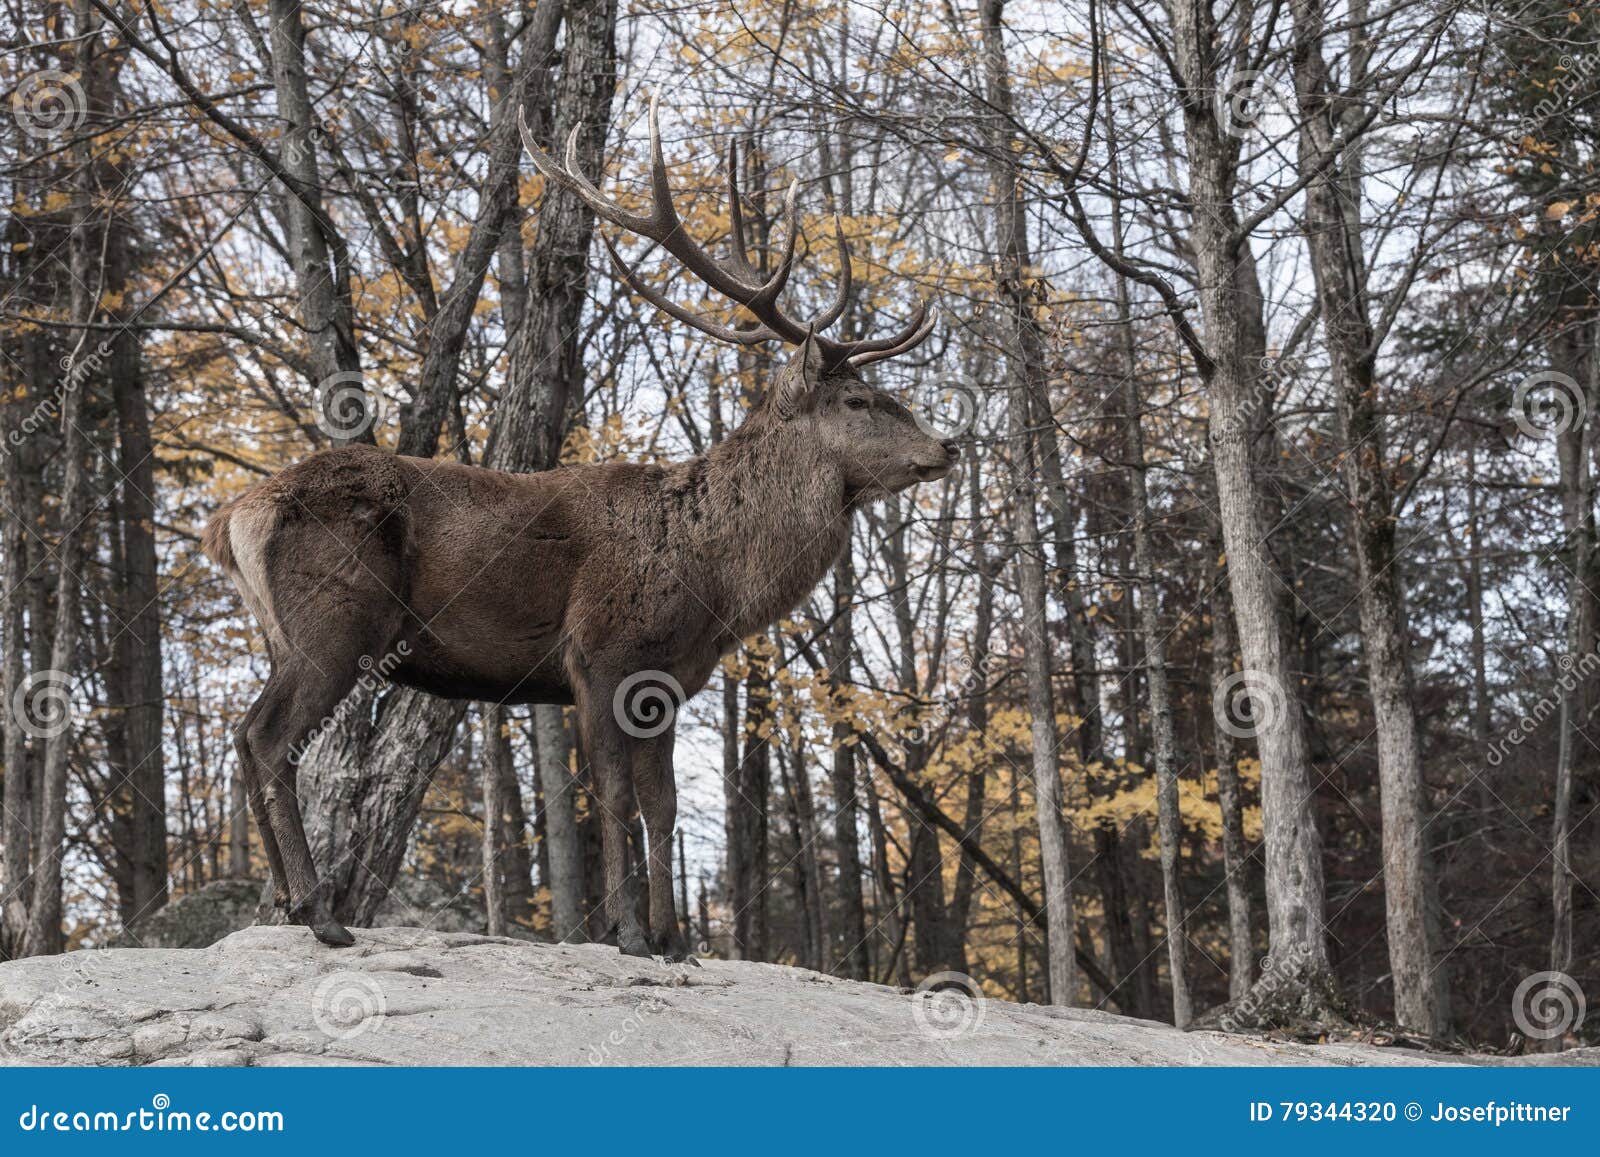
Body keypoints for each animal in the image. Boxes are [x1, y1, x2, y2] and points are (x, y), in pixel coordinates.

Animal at [202, 97, 956, 956]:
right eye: (858, 400)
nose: (948, 446)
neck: (714, 578)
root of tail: (232, 515)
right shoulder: (599, 654)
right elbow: (617, 796)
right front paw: (627, 932)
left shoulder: (667, 681)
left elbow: (663, 804)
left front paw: (673, 937)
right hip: (335, 618)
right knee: (268, 737)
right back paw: (319, 910)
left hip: (284, 630)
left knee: (248, 734)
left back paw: (293, 903)